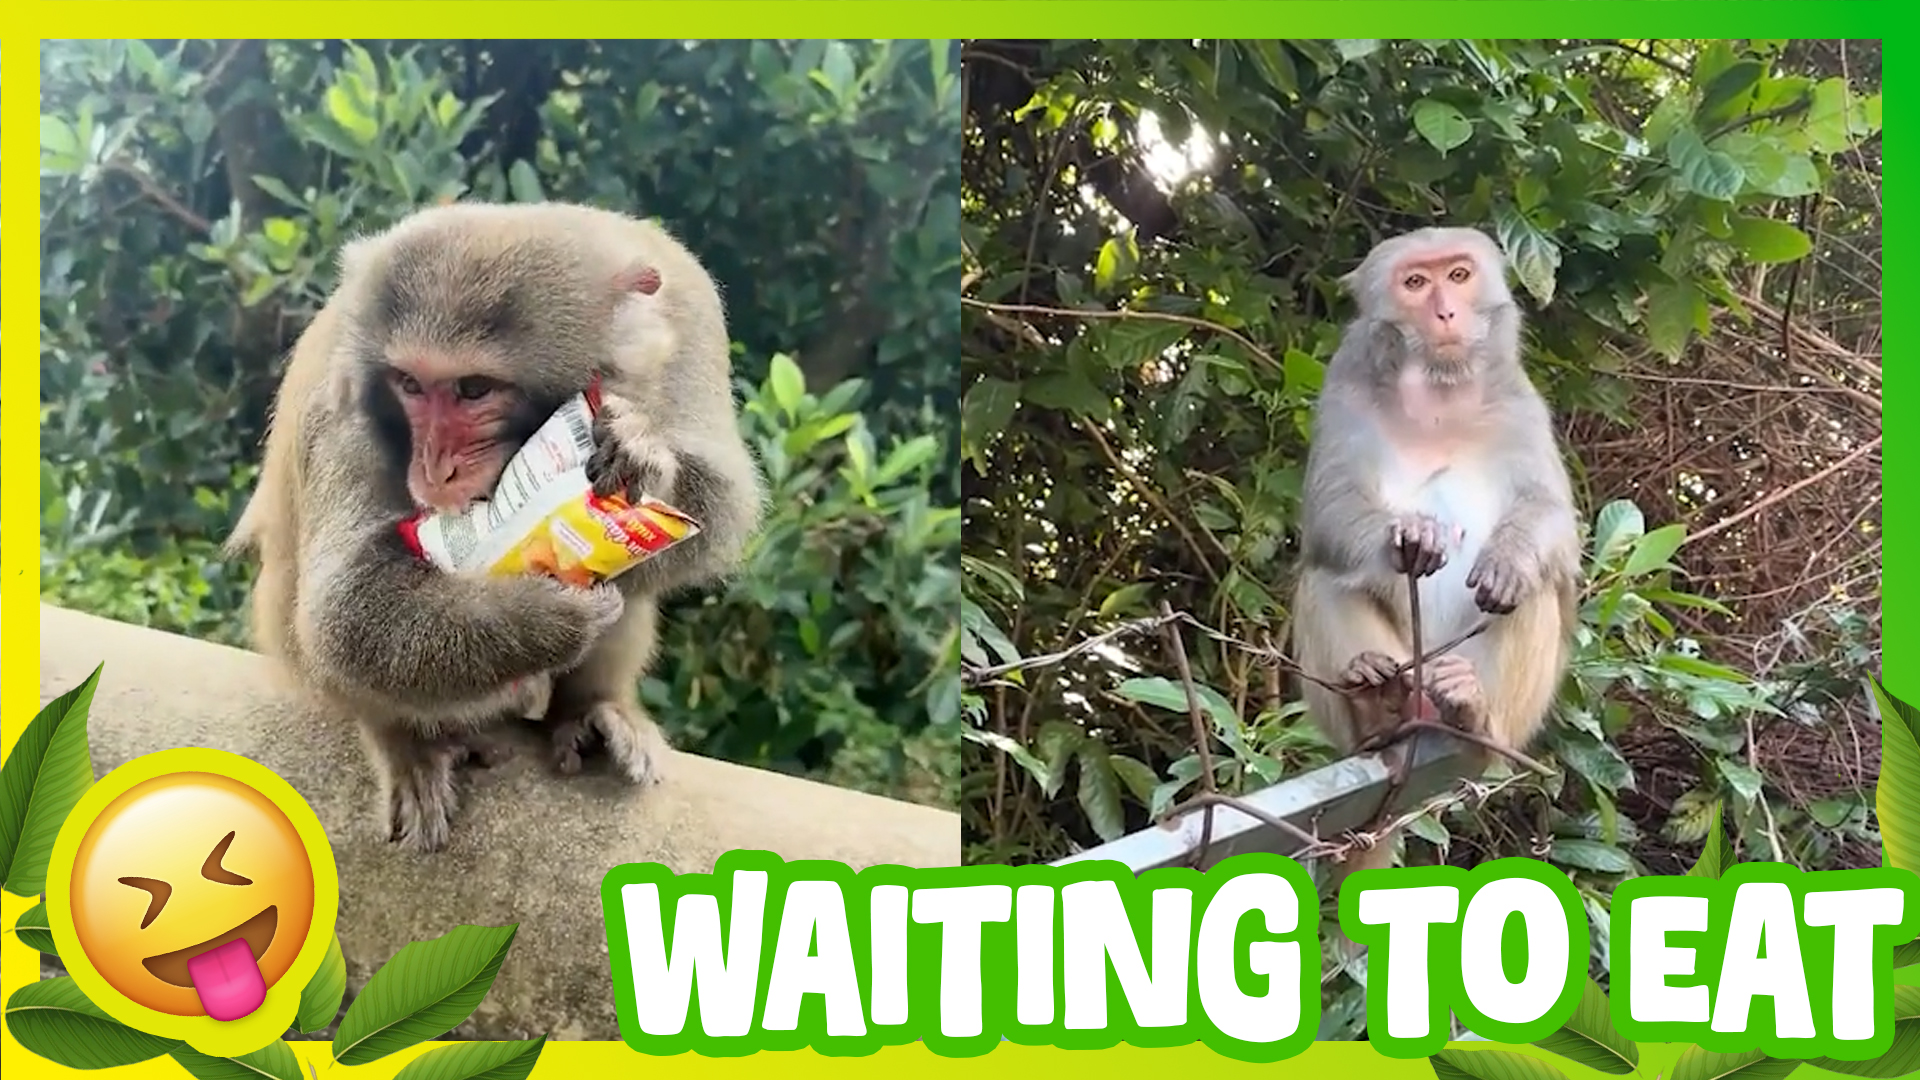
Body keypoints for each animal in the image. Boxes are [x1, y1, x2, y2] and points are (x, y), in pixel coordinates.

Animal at [224, 201, 766, 853]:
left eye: (475, 388)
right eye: (409, 384)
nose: (435, 467)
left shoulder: (691, 318)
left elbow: (724, 504)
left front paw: (643, 452)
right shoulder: (344, 393)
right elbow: (344, 612)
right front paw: (551, 614)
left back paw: (592, 708)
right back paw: (406, 740)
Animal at [1291, 226, 1581, 892]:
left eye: (1458, 275)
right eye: (1416, 283)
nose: (1445, 312)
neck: (1441, 392)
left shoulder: (1519, 400)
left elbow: (1553, 518)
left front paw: (1510, 559)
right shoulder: (1345, 382)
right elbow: (1329, 509)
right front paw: (1410, 535)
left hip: (1511, 713)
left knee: (1531, 597)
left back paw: (1474, 718)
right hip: (1393, 672)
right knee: (1326, 577)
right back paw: (1375, 707)